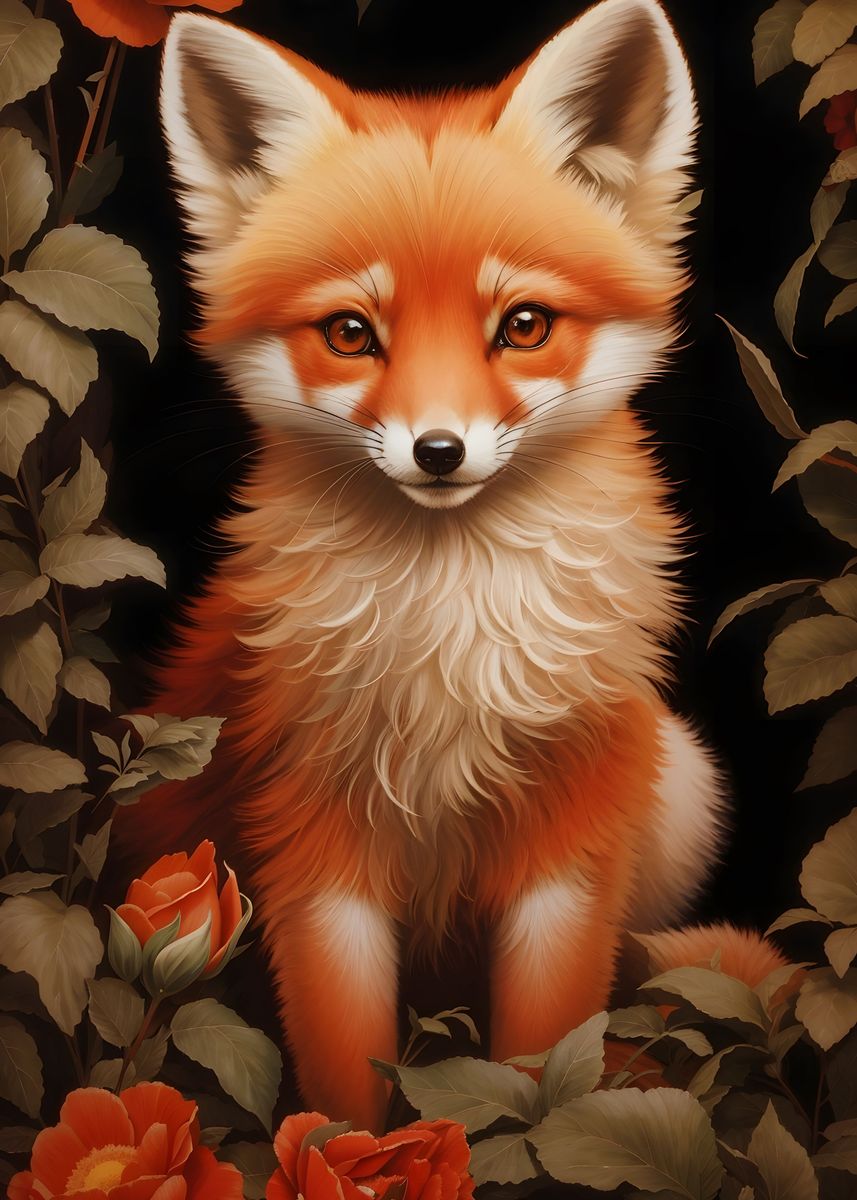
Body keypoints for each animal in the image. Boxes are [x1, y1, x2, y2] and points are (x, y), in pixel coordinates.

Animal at [116, 0, 791, 1131]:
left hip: (680, 776)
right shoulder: (313, 846)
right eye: (351, 333)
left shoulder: (569, 850)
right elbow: (347, 1082)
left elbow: (544, 1060)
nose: (439, 450)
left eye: (521, 326)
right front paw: (349, 1154)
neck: (449, 651)